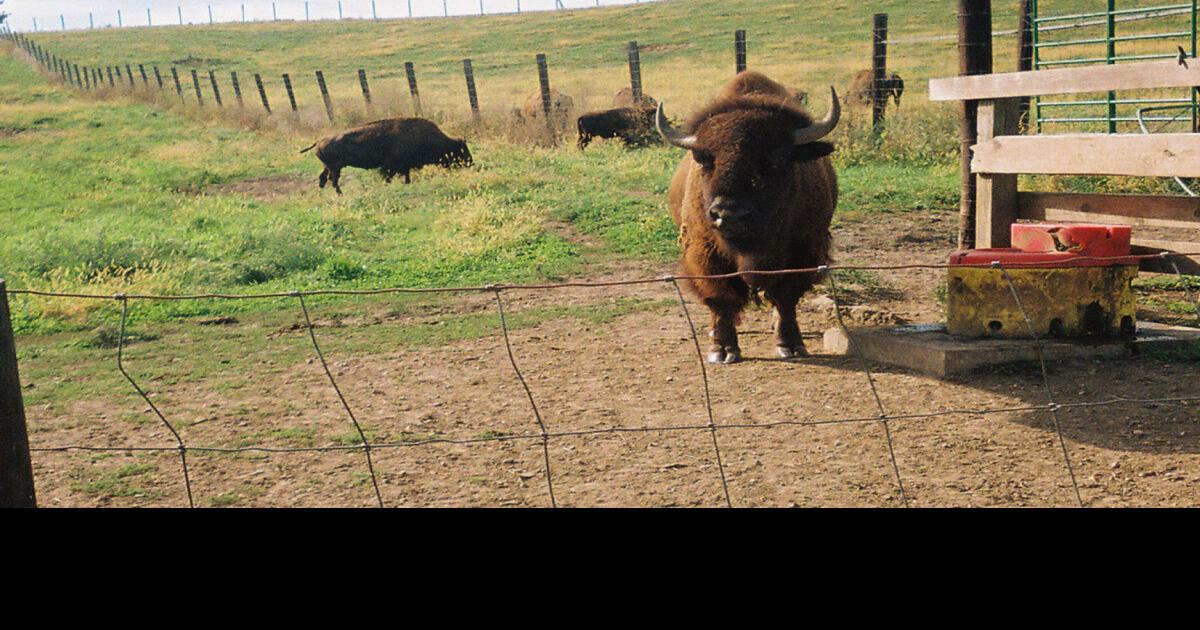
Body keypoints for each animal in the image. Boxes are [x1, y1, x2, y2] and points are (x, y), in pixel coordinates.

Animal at [300, 118, 472, 194]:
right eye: (460, 150)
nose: (470, 162)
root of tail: (319, 141)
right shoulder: (391, 166)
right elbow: (389, 176)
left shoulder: (404, 166)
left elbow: (406, 176)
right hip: (335, 168)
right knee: (333, 180)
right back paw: (339, 193)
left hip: (329, 167)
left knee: (323, 178)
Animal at [657, 71, 840, 363]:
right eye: (705, 159)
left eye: (776, 159)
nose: (728, 214)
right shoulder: (706, 256)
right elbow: (721, 299)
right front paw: (722, 350)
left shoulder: (801, 255)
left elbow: (786, 298)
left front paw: (790, 345)